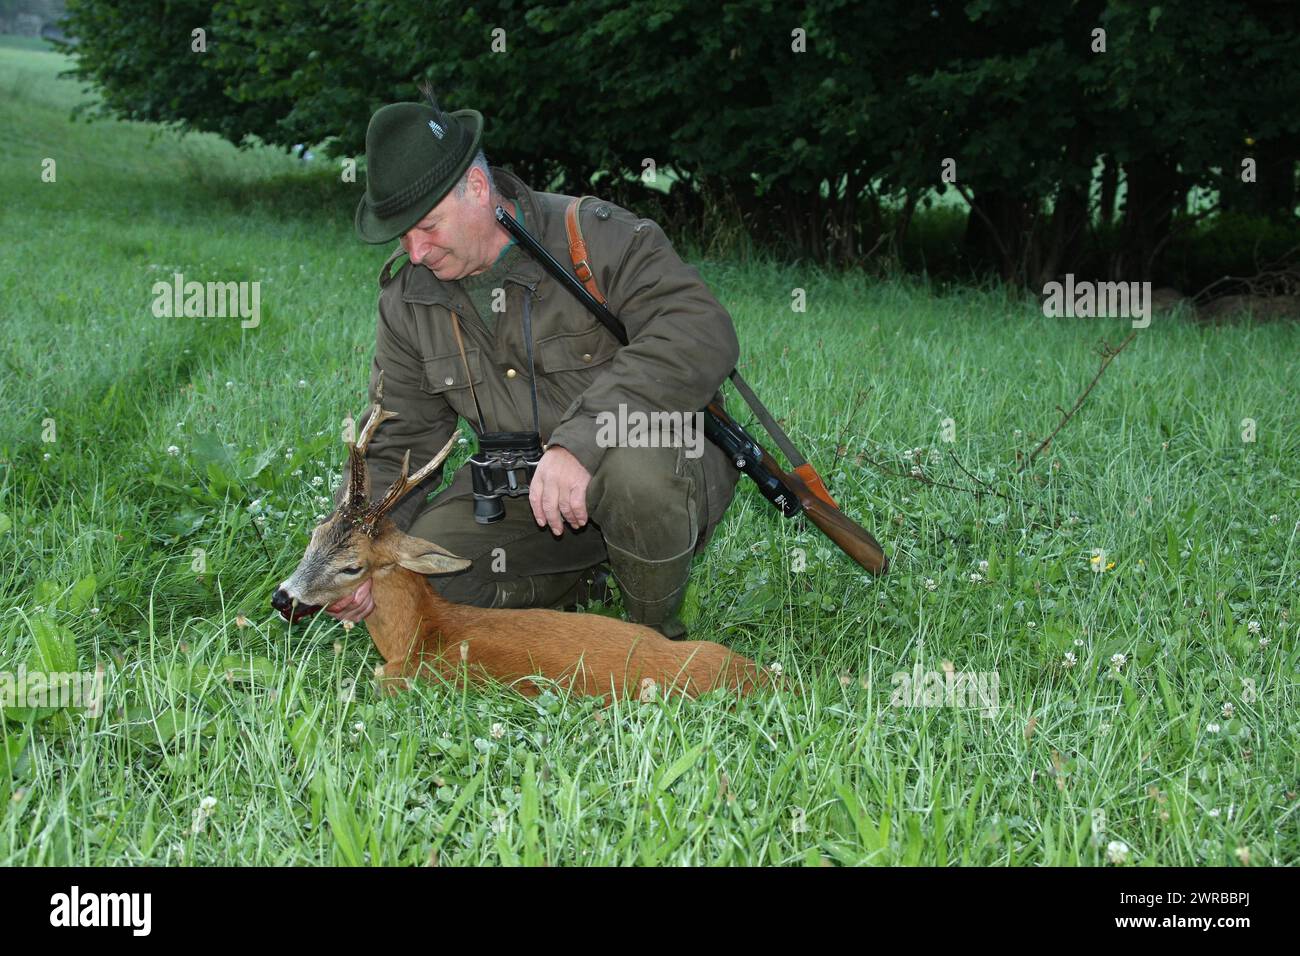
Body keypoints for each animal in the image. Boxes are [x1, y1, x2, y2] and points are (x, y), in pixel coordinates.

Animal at [270, 378, 768, 702]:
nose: (281, 597)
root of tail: (767, 678)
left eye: (352, 566)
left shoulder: (399, 678)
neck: (420, 633)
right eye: (315, 535)